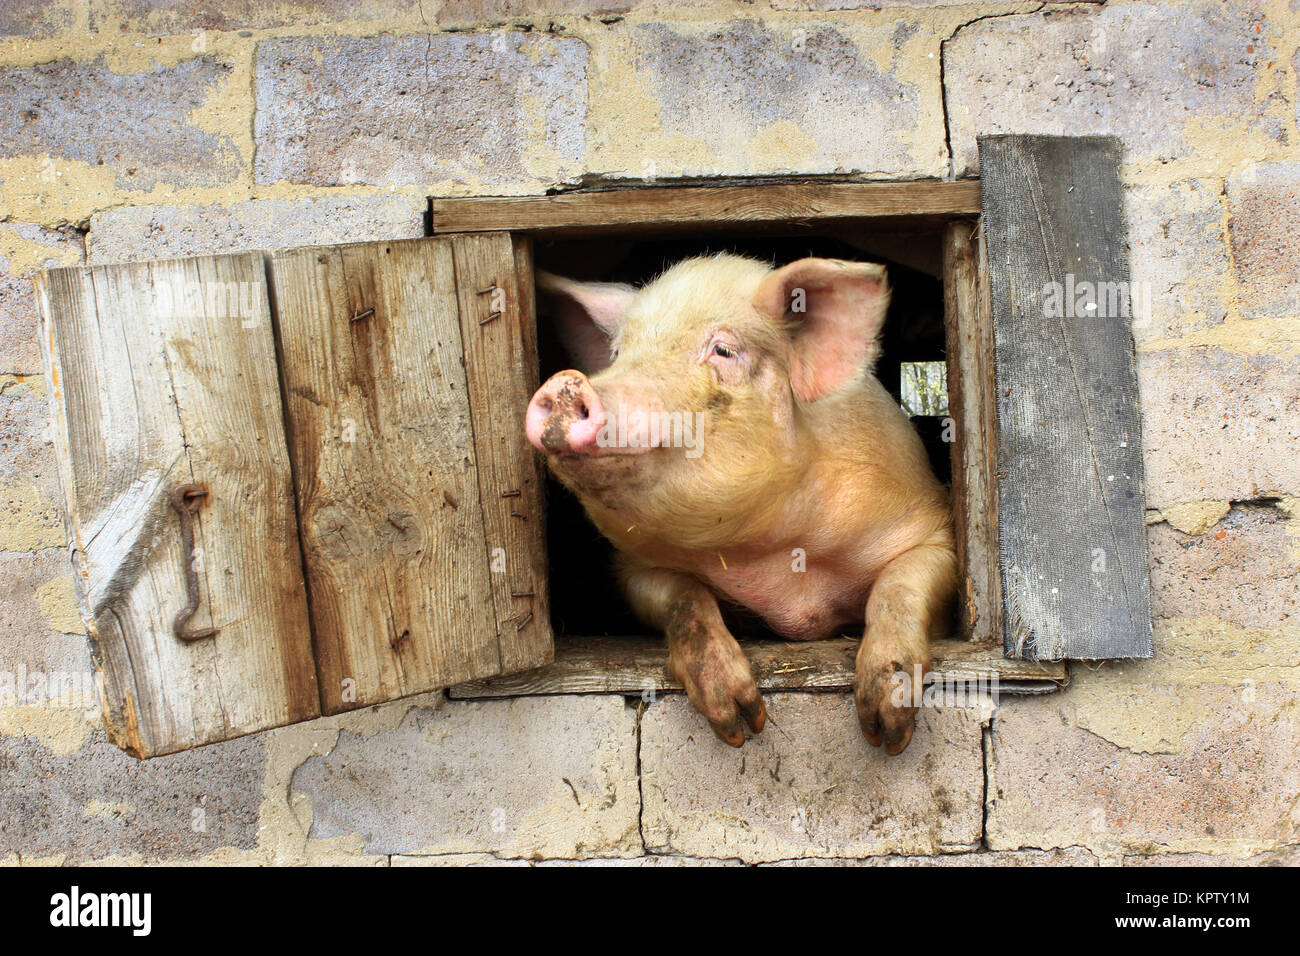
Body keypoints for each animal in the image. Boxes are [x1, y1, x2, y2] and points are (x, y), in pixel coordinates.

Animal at [525, 255, 955, 755]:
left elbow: (899, 586)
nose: (566, 384)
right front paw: (742, 723)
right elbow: (683, 599)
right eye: (617, 354)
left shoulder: (932, 528)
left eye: (724, 351)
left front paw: (886, 730)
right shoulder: (633, 568)